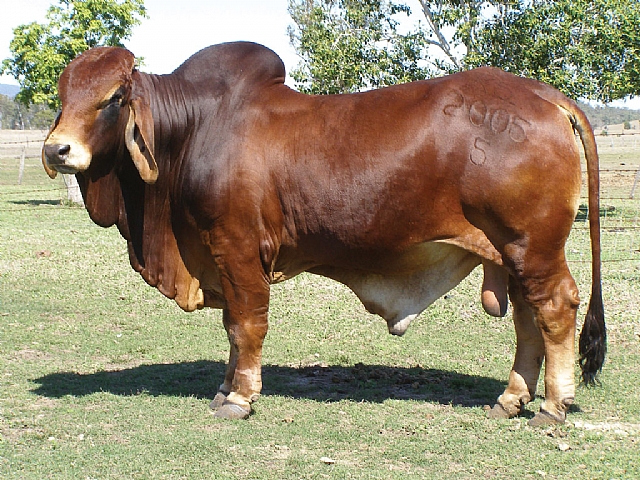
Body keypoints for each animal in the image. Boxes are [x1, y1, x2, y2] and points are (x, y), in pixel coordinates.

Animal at [43, 42, 605, 425]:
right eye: (62, 94)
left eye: (114, 97)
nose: (57, 150)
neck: (192, 130)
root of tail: (544, 94)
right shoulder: (220, 258)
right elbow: (230, 326)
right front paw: (226, 388)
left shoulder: (238, 249)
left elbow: (246, 325)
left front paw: (241, 397)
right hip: (512, 253)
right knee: (529, 320)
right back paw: (510, 399)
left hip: (531, 246)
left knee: (555, 308)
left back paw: (553, 405)